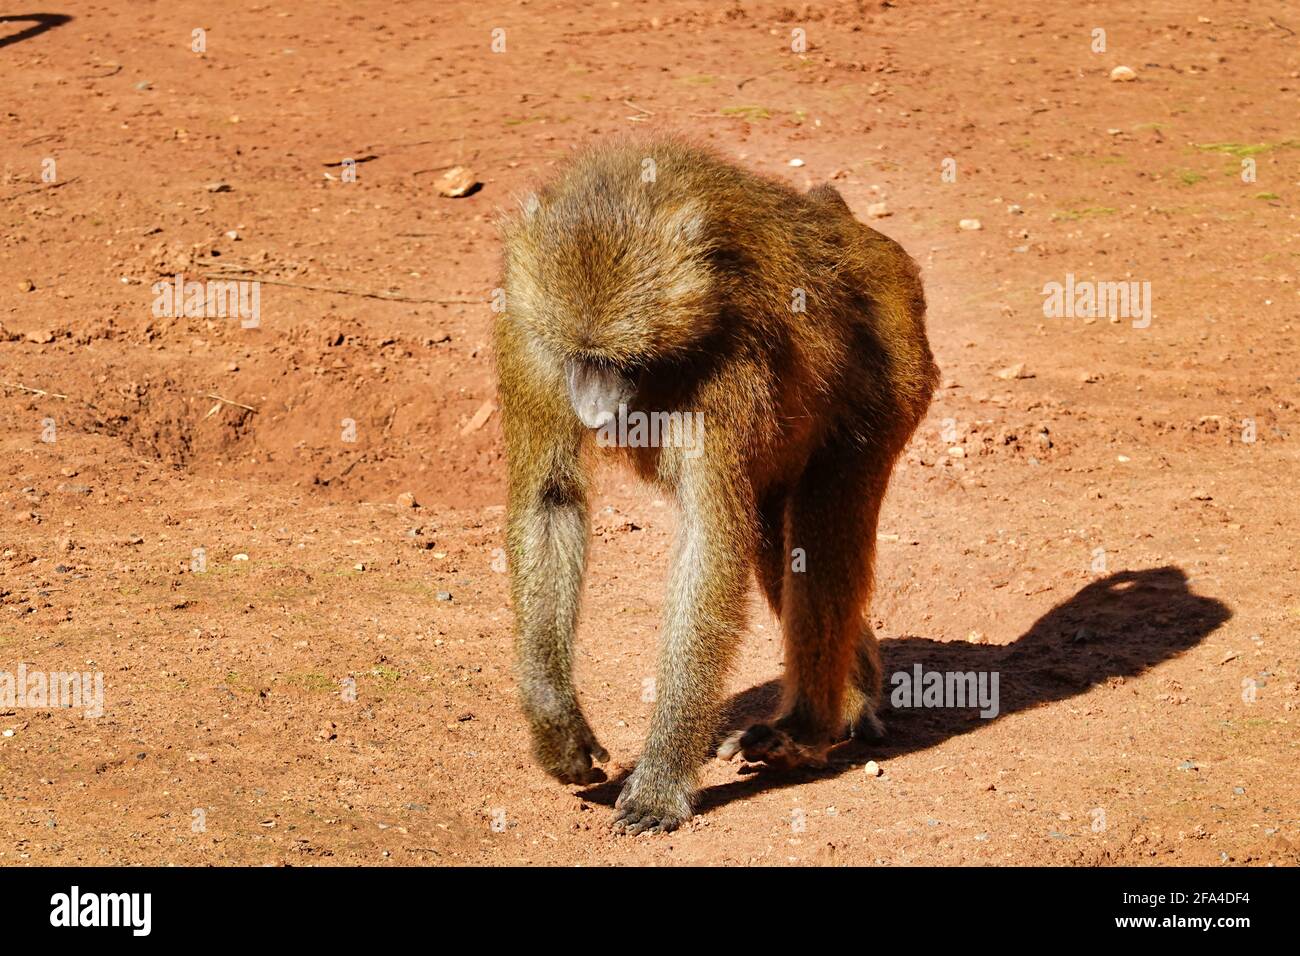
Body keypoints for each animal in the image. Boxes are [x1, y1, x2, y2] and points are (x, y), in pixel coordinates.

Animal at [494, 136, 938, 834]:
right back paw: (854, 697)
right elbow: (550, 501)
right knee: (779, 543)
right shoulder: (529, 335)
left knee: (820, 539)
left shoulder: (730, 367)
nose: (592, 412)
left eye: (621, 360)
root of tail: (849, 227)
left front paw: (660, 784)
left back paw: (806, 730)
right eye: (578, 357)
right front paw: (555, 726)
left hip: (894, 366)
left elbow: (710, 545)